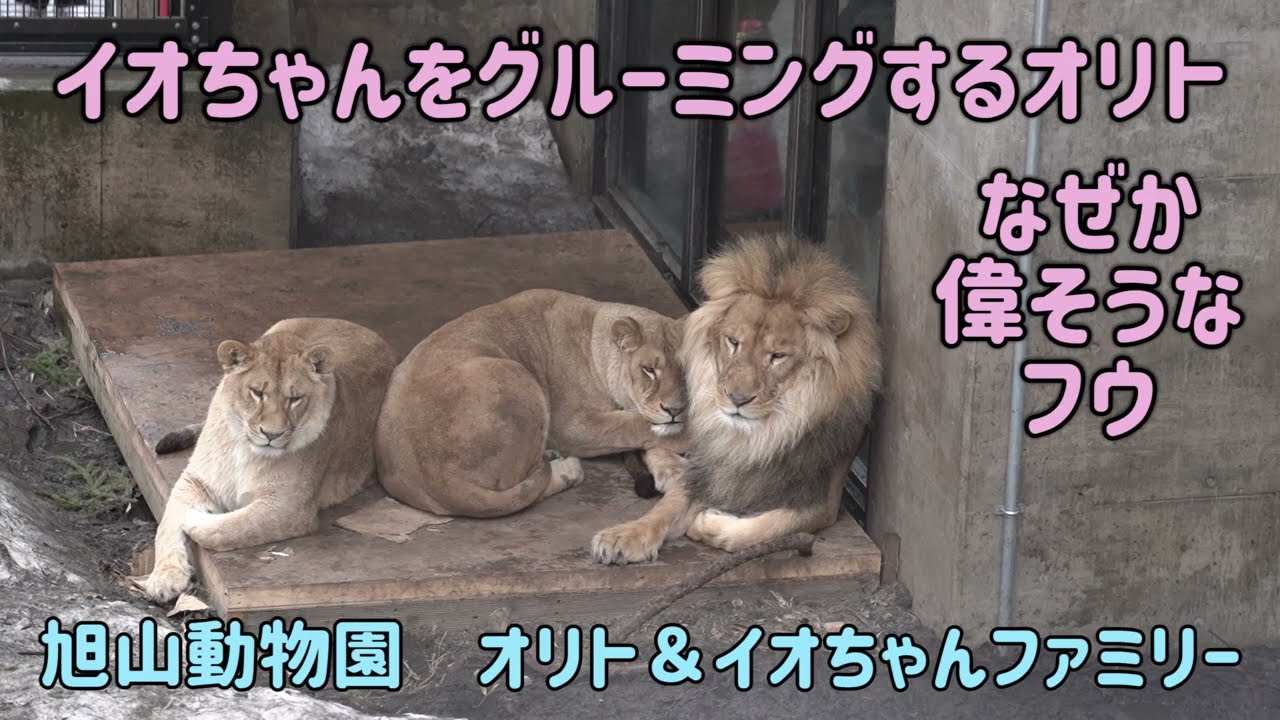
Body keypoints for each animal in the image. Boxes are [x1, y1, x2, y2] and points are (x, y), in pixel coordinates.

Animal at [141, 317, 397, 603]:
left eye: (294, 399)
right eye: (257, 393)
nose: (271, 434)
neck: (246, 451)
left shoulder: (289, 507)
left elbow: (232, 526)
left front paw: (194, 519)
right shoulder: (194, 480)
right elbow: (166, 525)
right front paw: (165, 578)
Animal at [374, 288, 690, 519]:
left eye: (686, 371)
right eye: (649, 370)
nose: (675, 410)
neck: (595, 337)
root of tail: (439, 481)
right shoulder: (573, 425)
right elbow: (635, 424)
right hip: (517, 375)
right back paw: (567, 470)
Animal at [591, 231, 882, 564]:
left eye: (778, 356)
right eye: (733, 342)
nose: (736, 399)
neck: (766, 433)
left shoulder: (823, 499)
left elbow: (772, 526)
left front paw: (708, 524)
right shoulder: (715, 467)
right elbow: (667, 507)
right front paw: (624, 536)